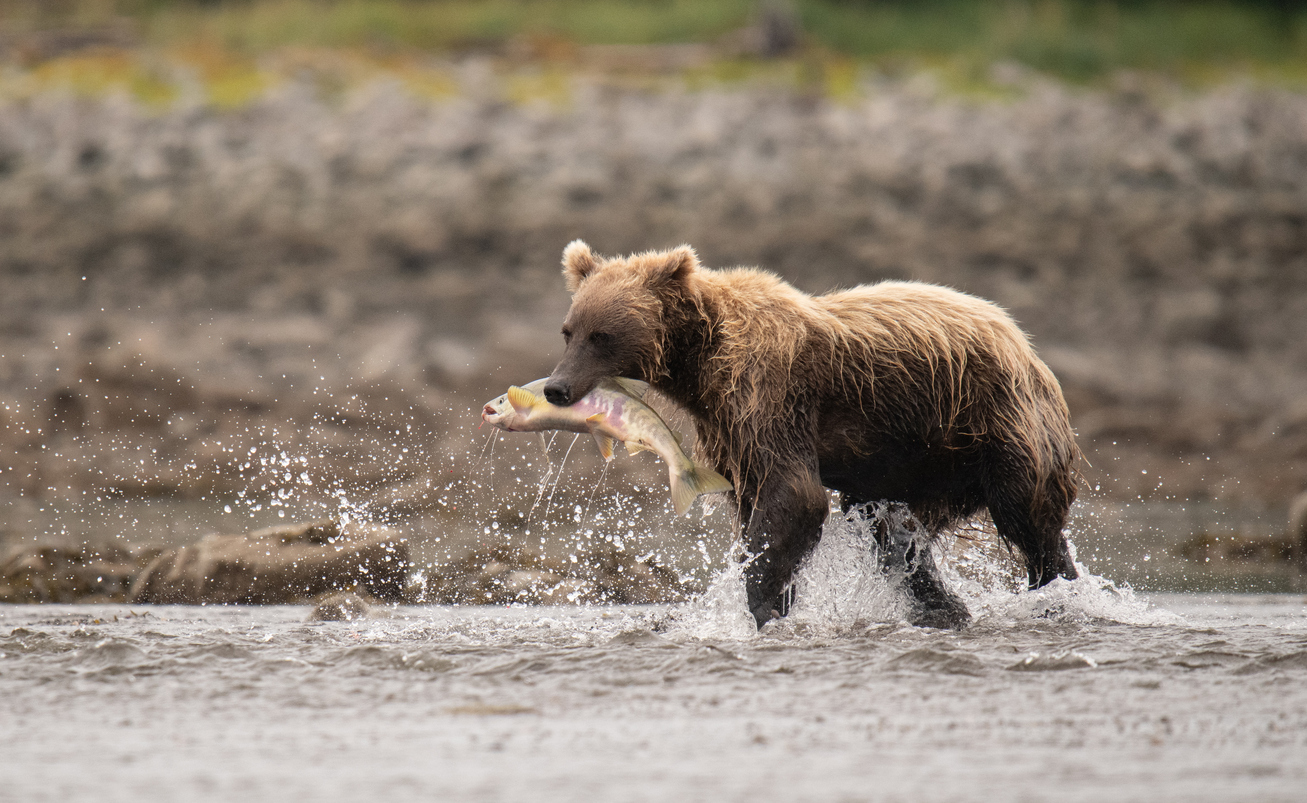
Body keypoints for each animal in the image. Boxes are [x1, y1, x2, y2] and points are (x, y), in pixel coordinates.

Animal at [543, 241, 1080, 629]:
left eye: (602, 336)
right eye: (569, 330)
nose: (556, 387)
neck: (699, 364)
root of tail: (1022, 339)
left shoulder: (768, 395)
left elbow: (793, 496)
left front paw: (764, 605)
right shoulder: (728, 427)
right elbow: (757, 503)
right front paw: (774, 596)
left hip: (993, 422)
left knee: (1028, 515)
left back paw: (1056, 593)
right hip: (910, 458)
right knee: (894, 533)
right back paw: (943, 608)